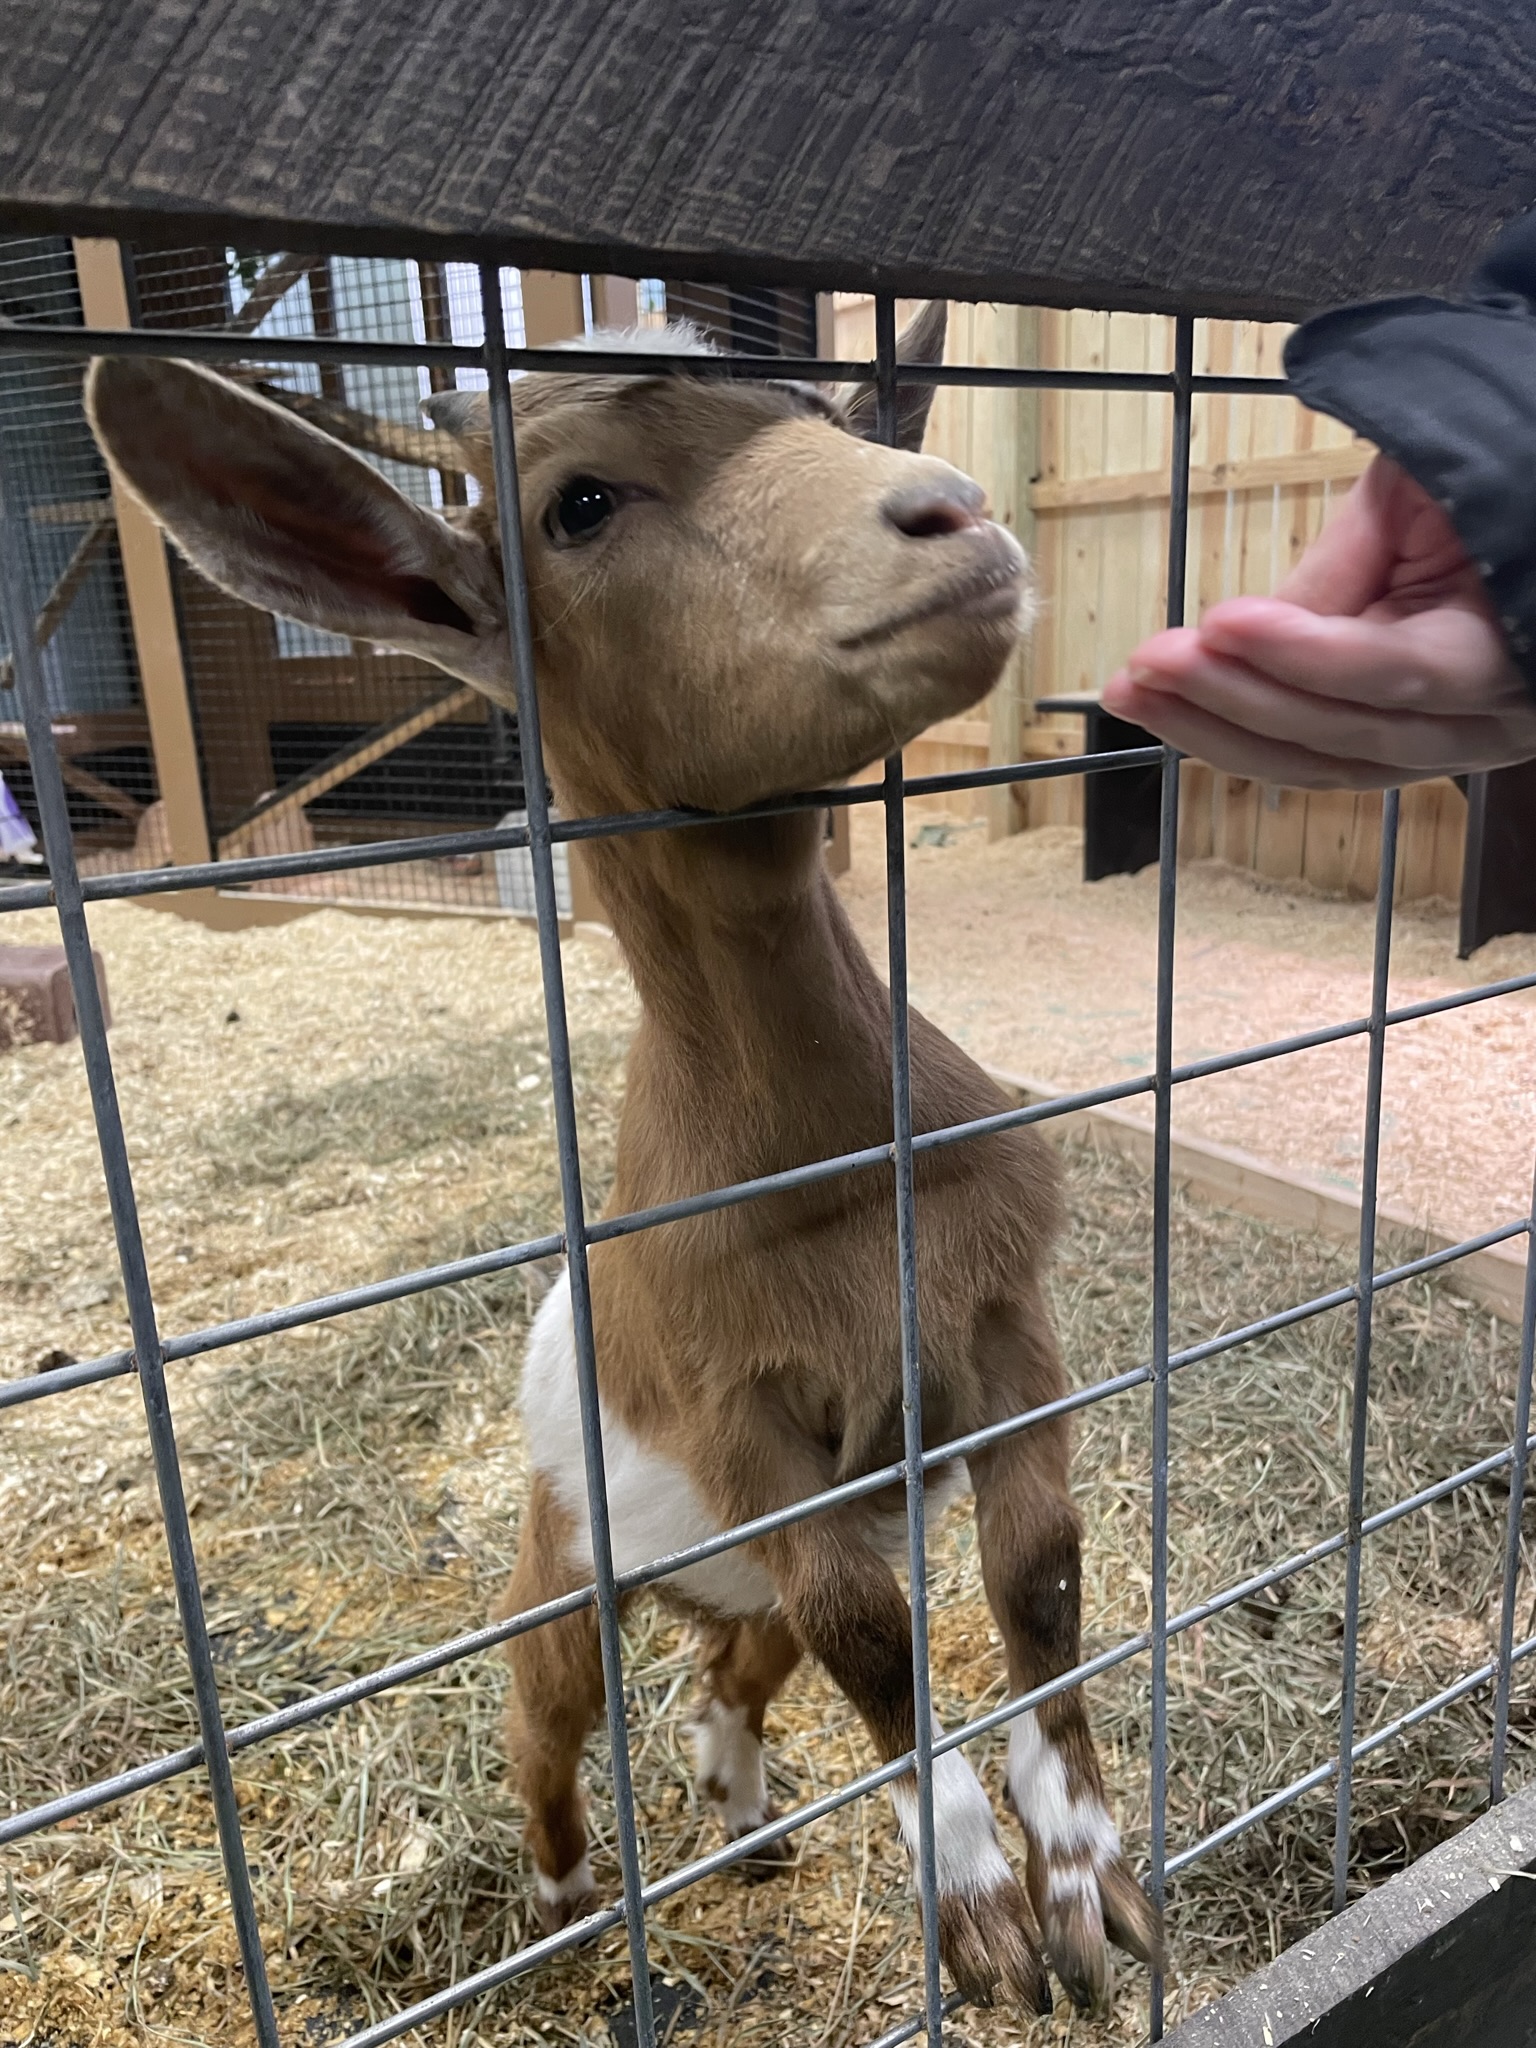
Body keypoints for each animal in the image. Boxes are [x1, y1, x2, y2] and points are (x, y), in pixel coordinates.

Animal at [86, 313, 1160, 2013]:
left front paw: (1087, 1886)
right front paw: (981, 1908)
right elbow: (877, 1635)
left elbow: (1035, 1577)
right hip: (561, 1568)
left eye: (834, 414)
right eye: (576, 505)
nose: (950, 515)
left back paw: (741, 1814)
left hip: (730, 1571)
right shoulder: (740, 1418)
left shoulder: (999, 1328)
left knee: (733, 1666)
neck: (828, 1179)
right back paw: (565, 1898)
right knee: (549, 1718)